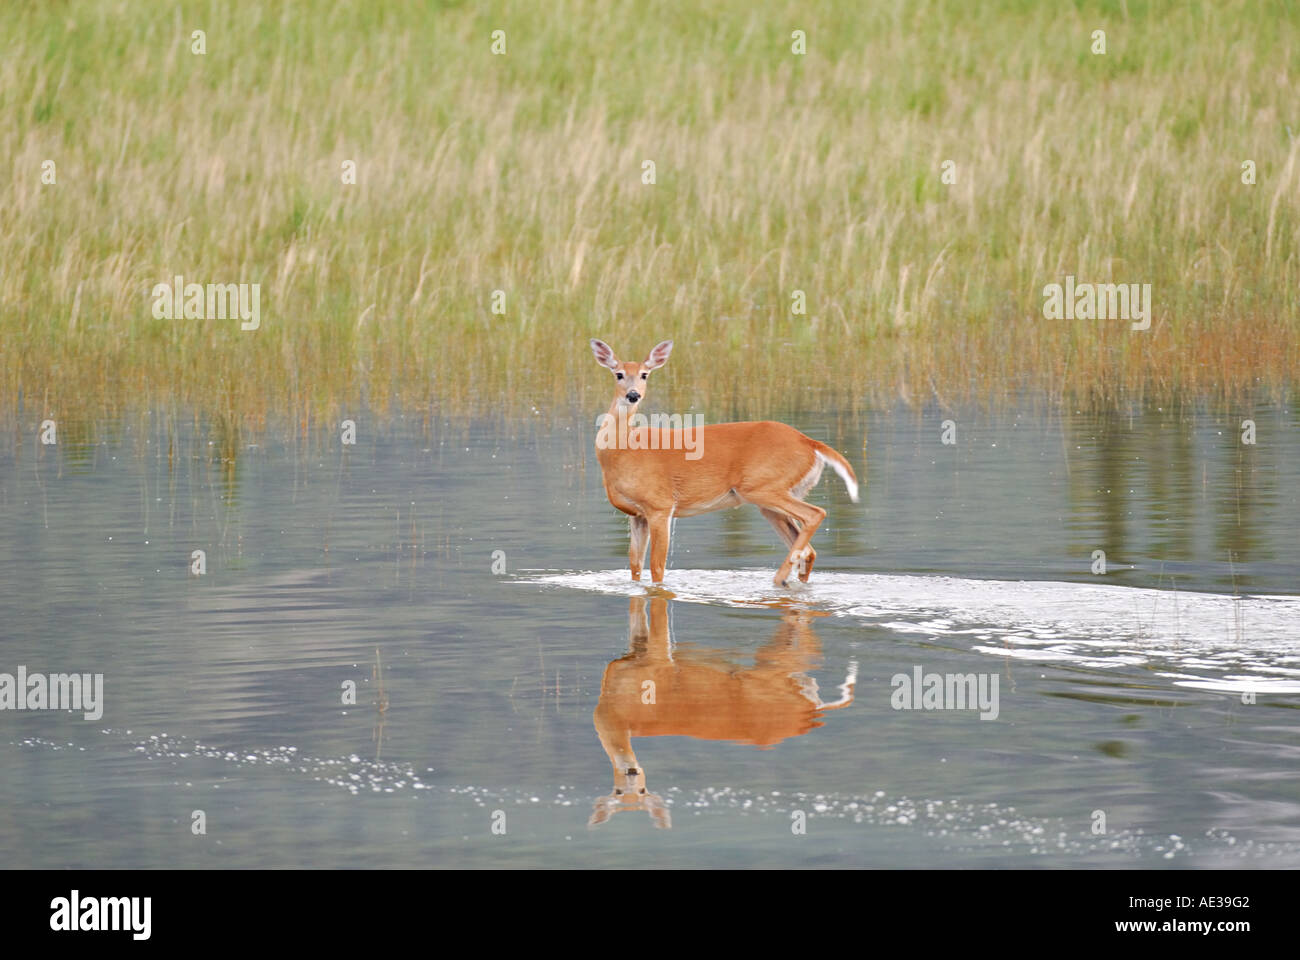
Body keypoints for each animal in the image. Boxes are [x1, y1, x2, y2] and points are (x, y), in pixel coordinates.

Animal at [588, 338, 859, 587]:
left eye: (645, 374)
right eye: (618, 374)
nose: (633, 395)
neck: (622, 450)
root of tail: (810, 443)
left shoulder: (660, 505)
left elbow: (657, 568)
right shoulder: (636, 514)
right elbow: (635, 566)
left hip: (762, 485)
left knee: (815, 514)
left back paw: (778, 578)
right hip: (775, 497)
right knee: (809, 549)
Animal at [589, 595, 857, 827]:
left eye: (644, 790)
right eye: (618, 791)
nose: (631, 771)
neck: (616, 714)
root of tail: (812, 715)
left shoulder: (658, 659)